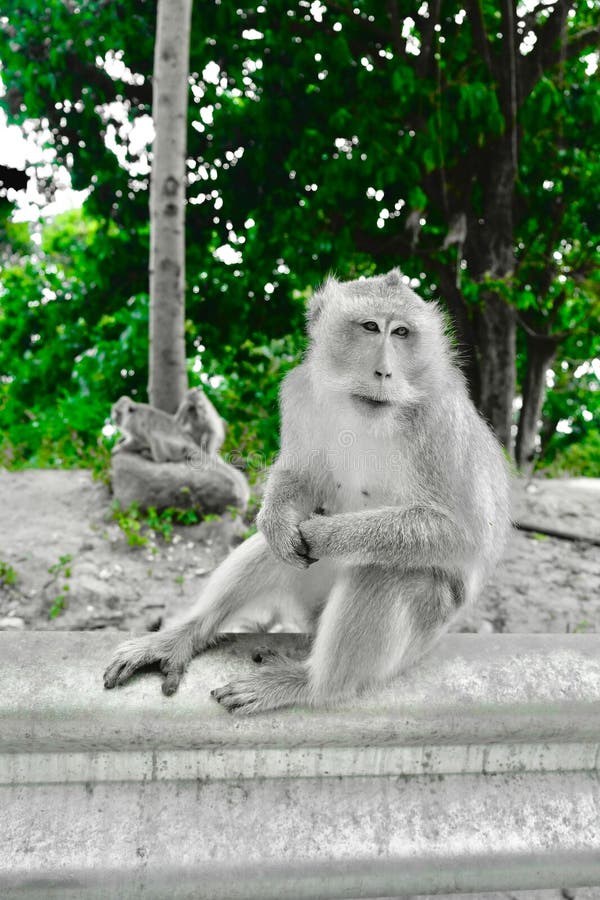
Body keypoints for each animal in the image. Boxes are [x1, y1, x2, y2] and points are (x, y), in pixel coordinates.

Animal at [104, 269, 510, 714]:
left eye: (402, 332)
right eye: (371, 327)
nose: (385, 372)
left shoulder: (440, 418)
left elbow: (466, 534)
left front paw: (324, 533)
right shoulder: (300, 390)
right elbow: (300, 479)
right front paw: (278, 520)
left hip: (427, 629)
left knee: (390, 569)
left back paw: (311, 685)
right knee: (273, 546)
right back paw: (187, 633)